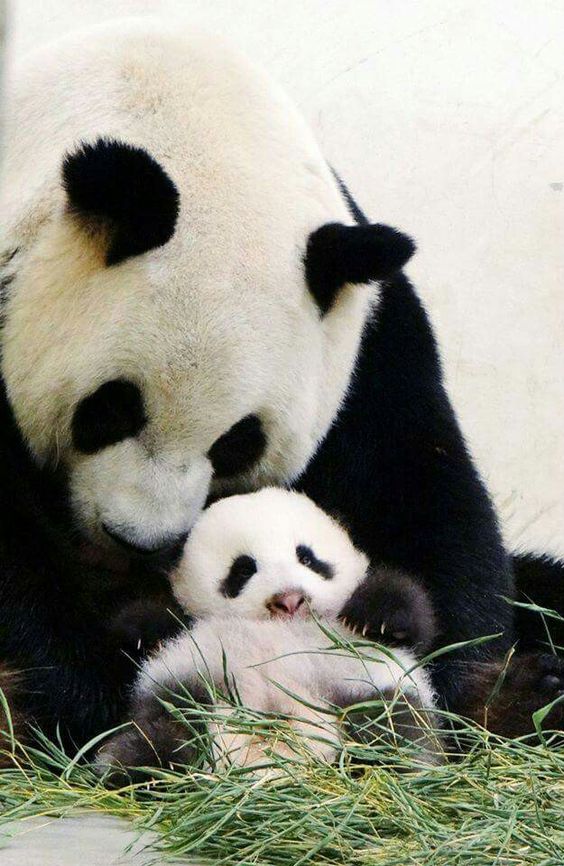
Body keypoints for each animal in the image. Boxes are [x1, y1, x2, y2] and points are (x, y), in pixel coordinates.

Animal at [97, 488, 440, 775]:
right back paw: (137, 773)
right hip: (188, 695)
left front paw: (376, 616)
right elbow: (153, 624)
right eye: (243, 569)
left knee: (395, 728)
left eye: (307, 557)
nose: (289, 600)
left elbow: (413, 621)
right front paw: (139, 634)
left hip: (361, 690)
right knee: (161, 735)